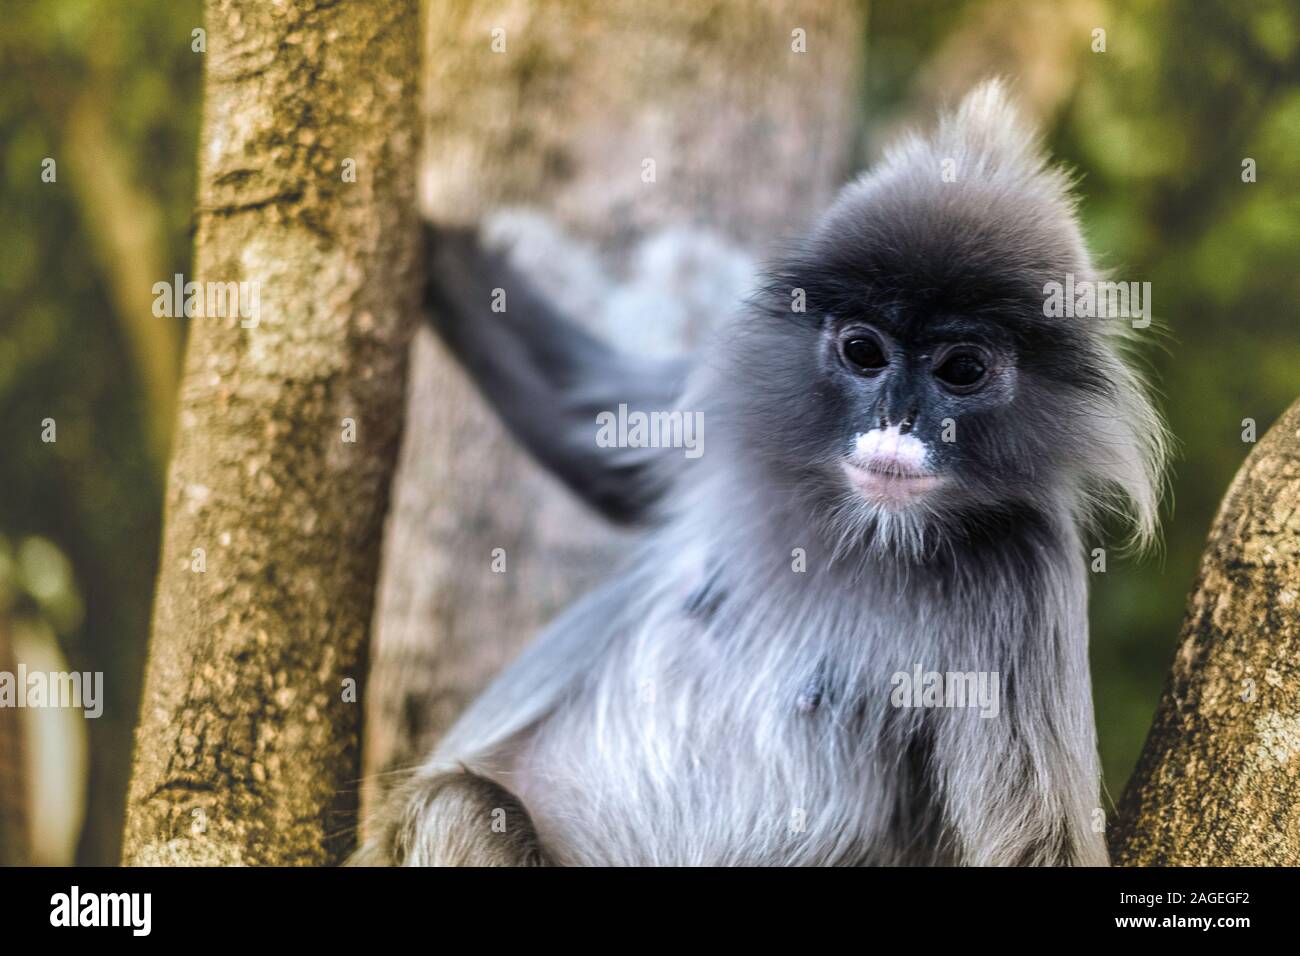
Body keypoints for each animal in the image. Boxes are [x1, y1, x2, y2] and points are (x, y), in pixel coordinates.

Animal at [353, 81, 1168, 867]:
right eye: (863, 352)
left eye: (961, 370)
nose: (897, 420)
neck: (864, 531)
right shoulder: (727, 408)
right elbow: (587, 430)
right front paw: (427, 234)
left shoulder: (1029, 570)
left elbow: (1035, 844)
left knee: (460, 806)